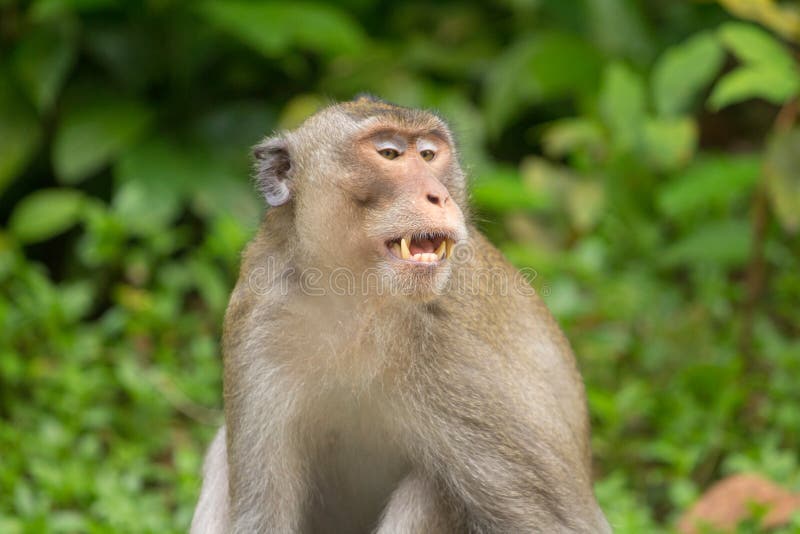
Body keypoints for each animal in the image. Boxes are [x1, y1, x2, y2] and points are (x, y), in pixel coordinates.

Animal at [190, 95, 611, 534]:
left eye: (428, 154)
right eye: (389, 154)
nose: (438, 196)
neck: (357, 301)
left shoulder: (453, 347)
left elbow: (562, 523)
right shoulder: (258, 316)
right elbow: (260, 515)